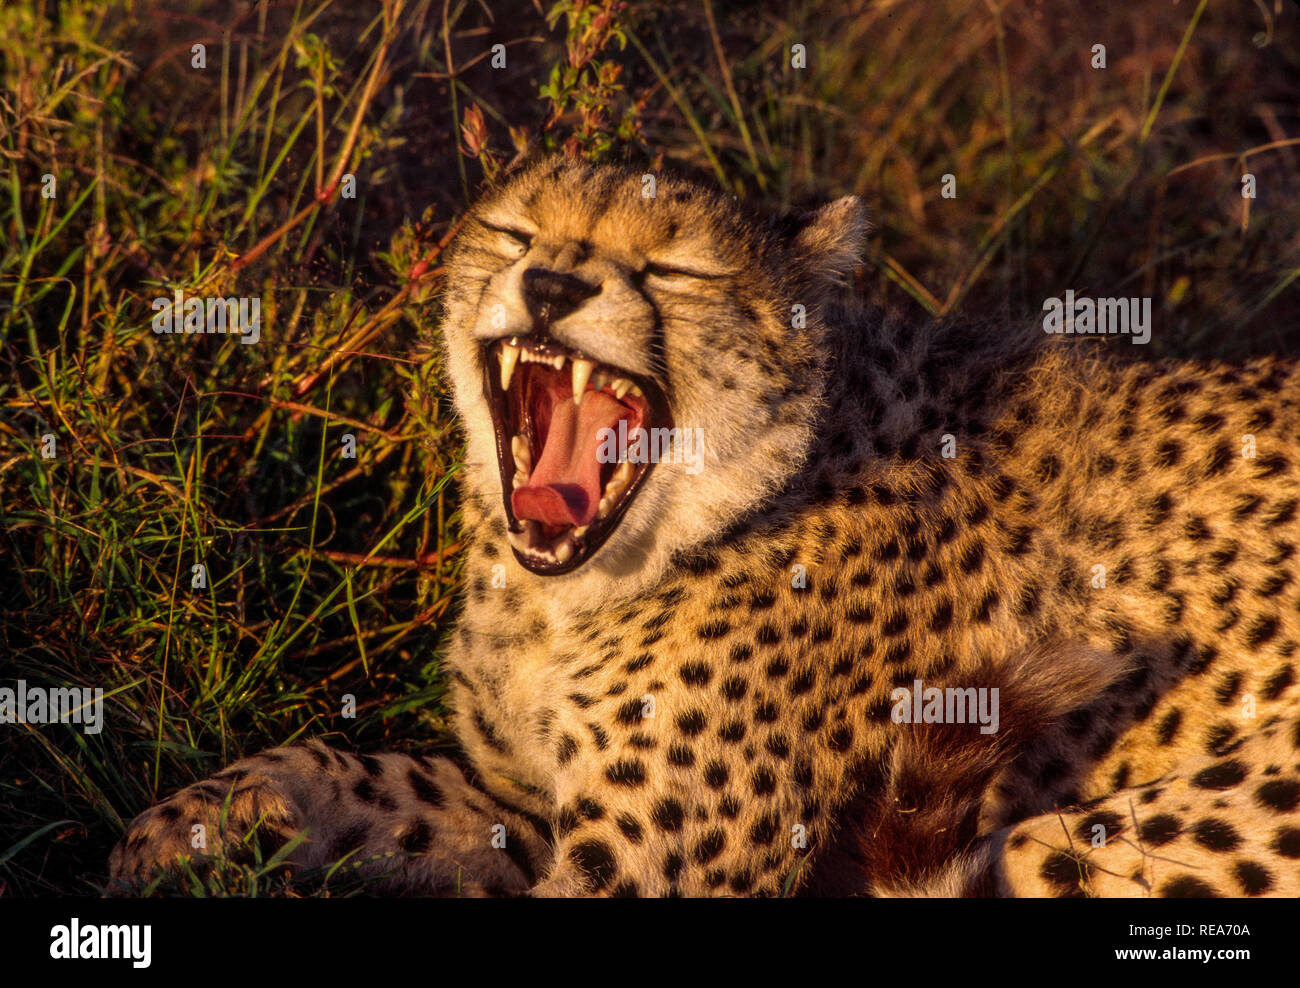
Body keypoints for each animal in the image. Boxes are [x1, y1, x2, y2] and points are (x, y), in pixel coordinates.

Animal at [110, 155, 1300, 897]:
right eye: (515, 232)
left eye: (672, 270)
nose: (549, 283)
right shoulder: (523, 804)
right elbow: (364, 776)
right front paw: (201, 819)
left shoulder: (650, 872)